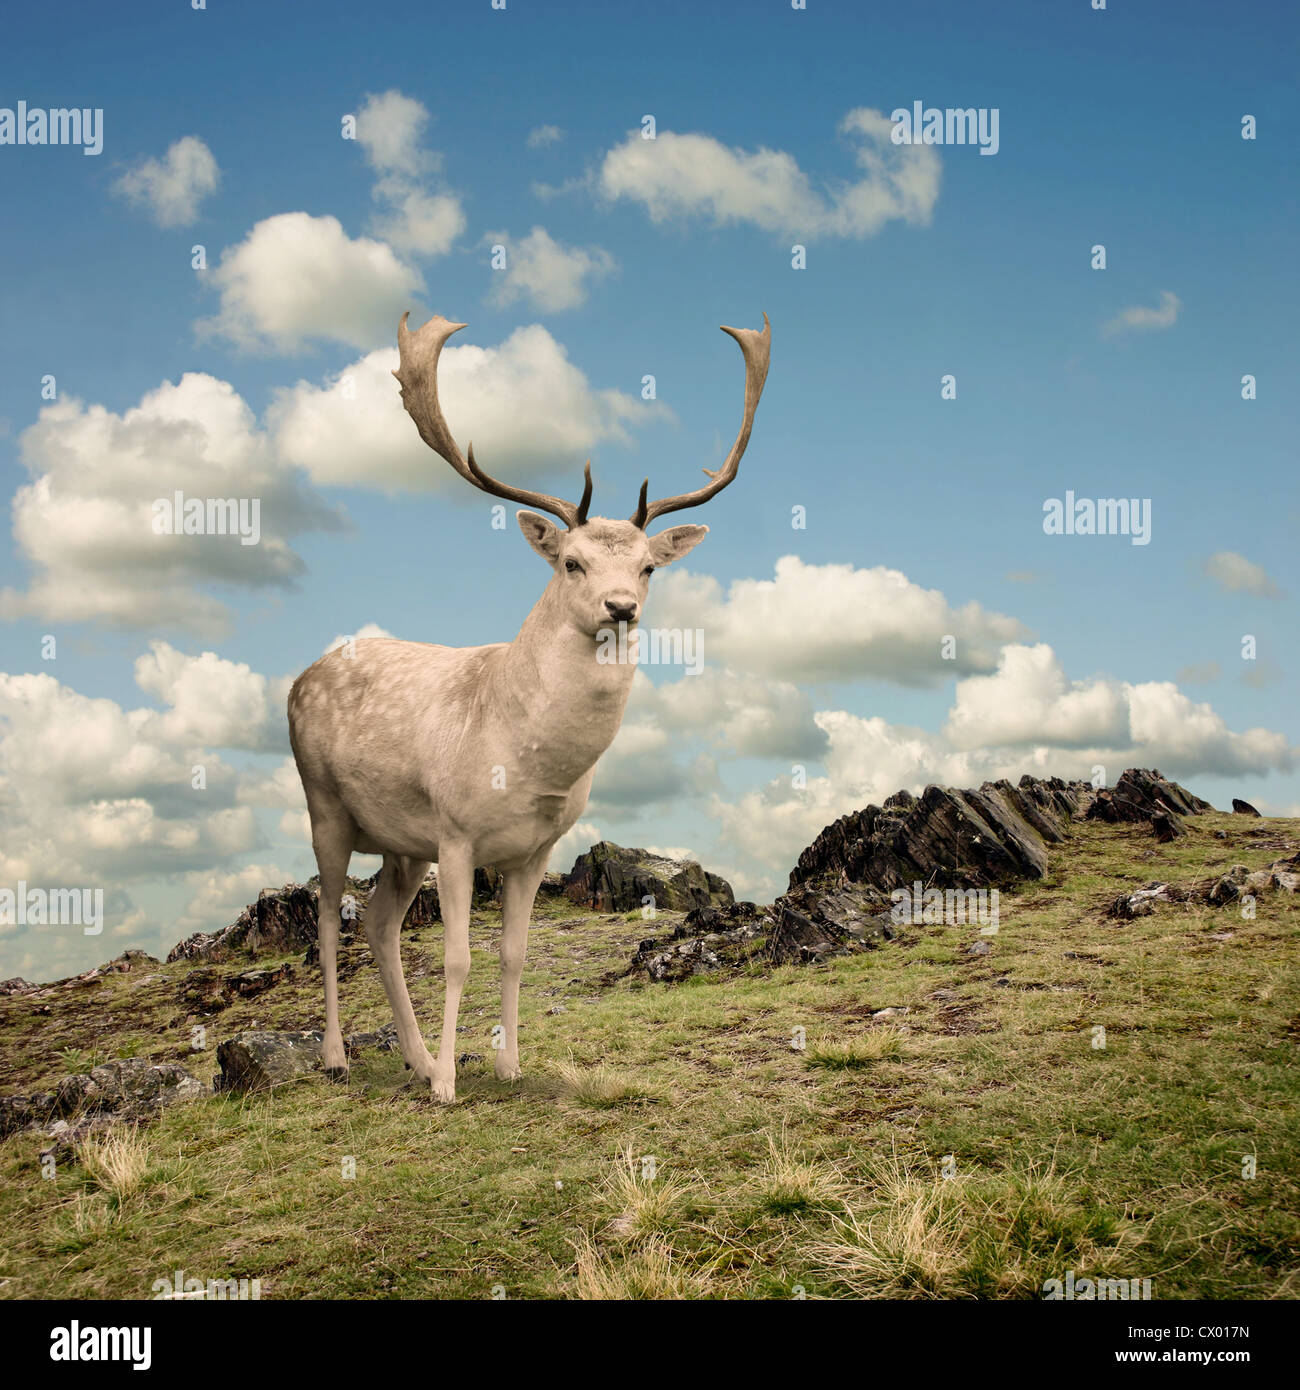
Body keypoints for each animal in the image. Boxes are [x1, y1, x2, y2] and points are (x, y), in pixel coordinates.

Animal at [287, 310, 770, 1102]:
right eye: (573, 561)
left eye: (647, 566)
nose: (621, 607)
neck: (526, 759)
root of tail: (300, 678)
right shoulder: (455, 833)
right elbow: (458, 957)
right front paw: (450, 1087)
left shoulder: (534, 850)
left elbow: (514, 954)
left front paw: (506, 1065)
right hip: (324, 805)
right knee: (330, 919)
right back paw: (336, 1055)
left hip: (400, 842)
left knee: (380, 924)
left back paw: (414, 1057)